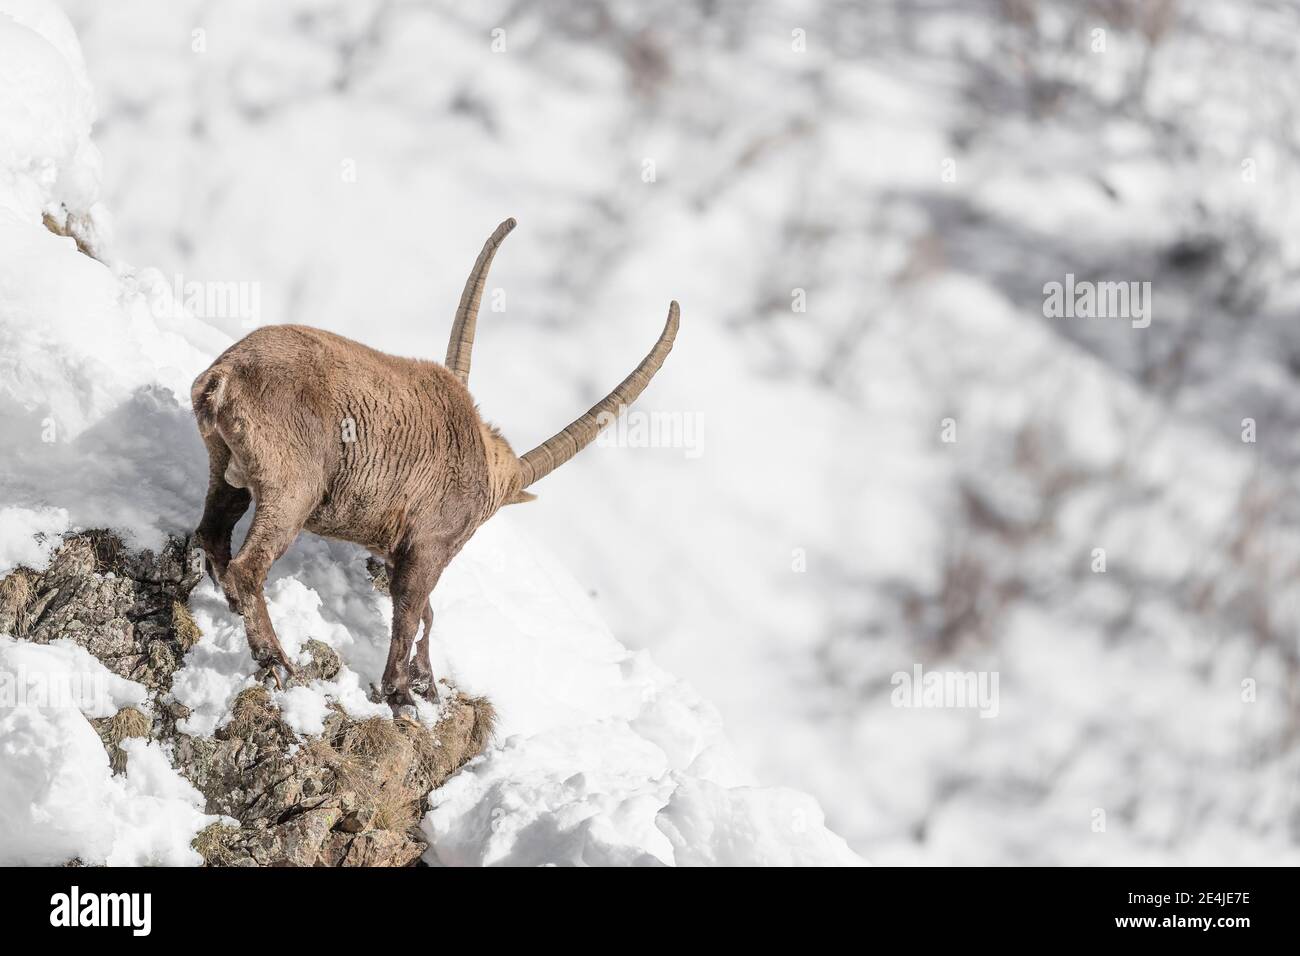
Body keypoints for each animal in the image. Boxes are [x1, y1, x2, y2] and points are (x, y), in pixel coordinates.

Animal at [191, 219, 679, 710]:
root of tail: (225, 376)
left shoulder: (401, 546)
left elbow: (425, 613)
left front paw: (425, 681)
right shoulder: (430, 544)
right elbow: (411, 609)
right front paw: (402, 694)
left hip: (227, 466)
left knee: (214, 530)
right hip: (294, 488)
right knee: (250, 567)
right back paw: (276, 660)